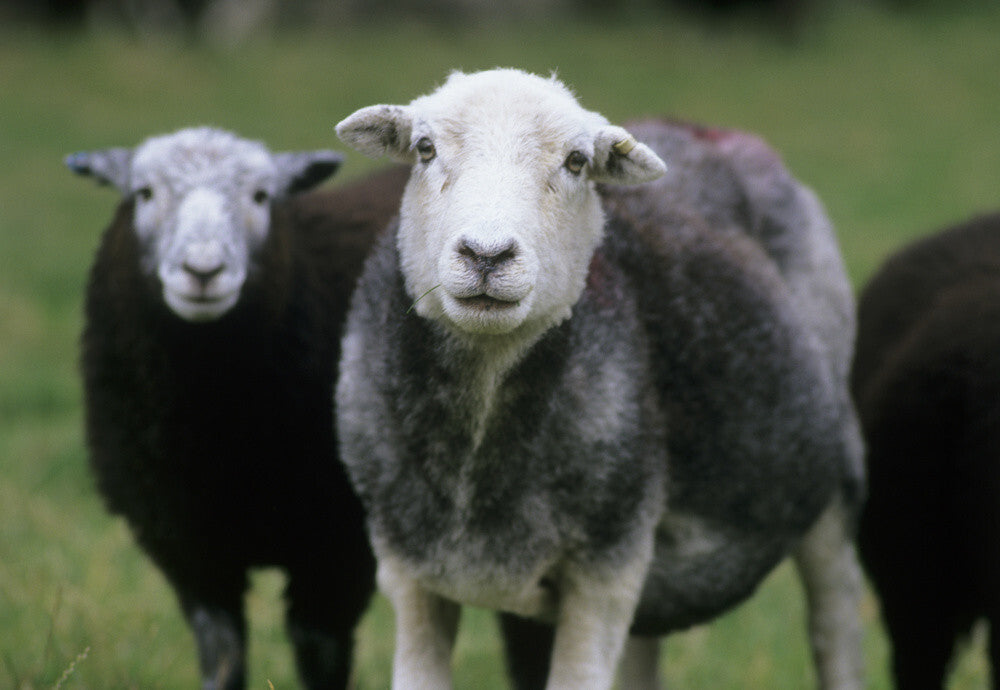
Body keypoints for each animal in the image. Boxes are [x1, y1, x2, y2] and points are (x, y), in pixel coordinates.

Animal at [69, 126, 409, 690]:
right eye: (143, 193)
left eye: (261, 196)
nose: (203, 271)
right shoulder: (190, 546)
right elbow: (223, 655)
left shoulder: (338, 544)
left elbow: (320, 654)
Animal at [334, 68, 865, 690]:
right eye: (424, 149)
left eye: (576, 162)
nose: (486, 255)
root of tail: (707, 129)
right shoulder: (407, 570)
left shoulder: (607, 568)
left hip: (834, 483)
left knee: (835, 625)